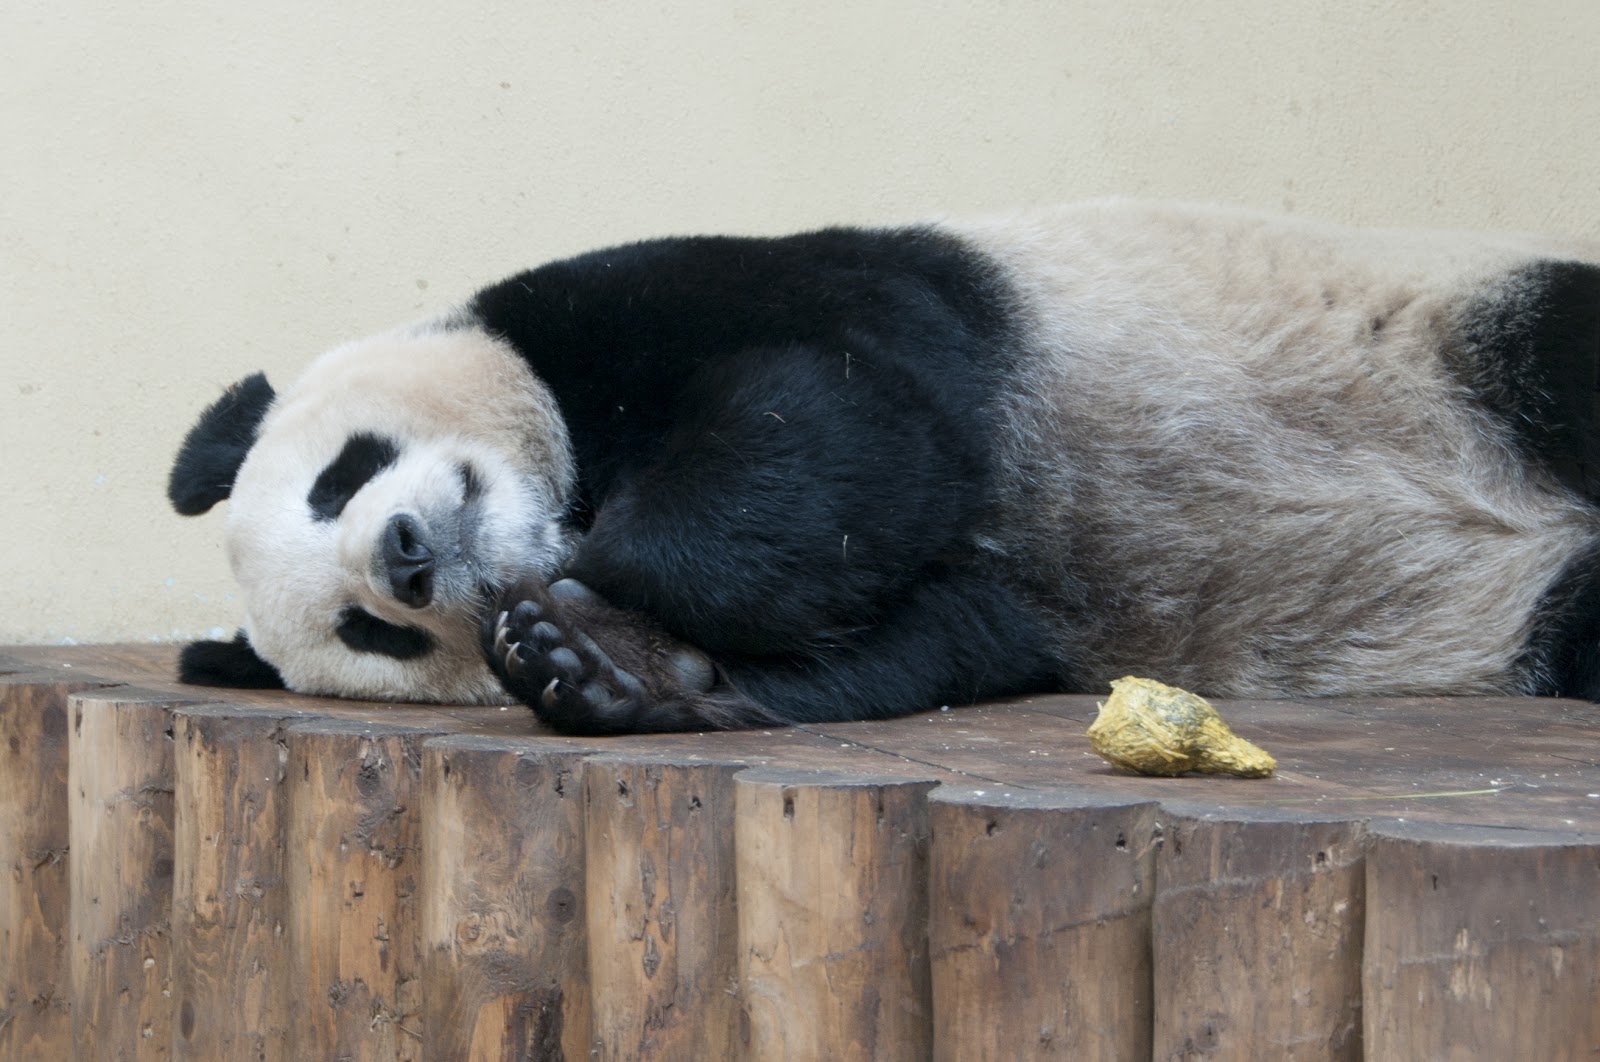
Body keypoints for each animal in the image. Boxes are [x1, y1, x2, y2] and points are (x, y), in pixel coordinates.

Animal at [168, 199, 1600, 735]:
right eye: (371, 631)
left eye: (339, 476)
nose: (407, 558)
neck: (563, 488)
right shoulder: (1021, 616)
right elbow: (940, 643)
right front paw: (609, 663)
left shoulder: (650, 301)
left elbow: (848, 411)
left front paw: (605, 590)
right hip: (1512, 612)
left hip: (1452, 344)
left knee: (1555, 347)